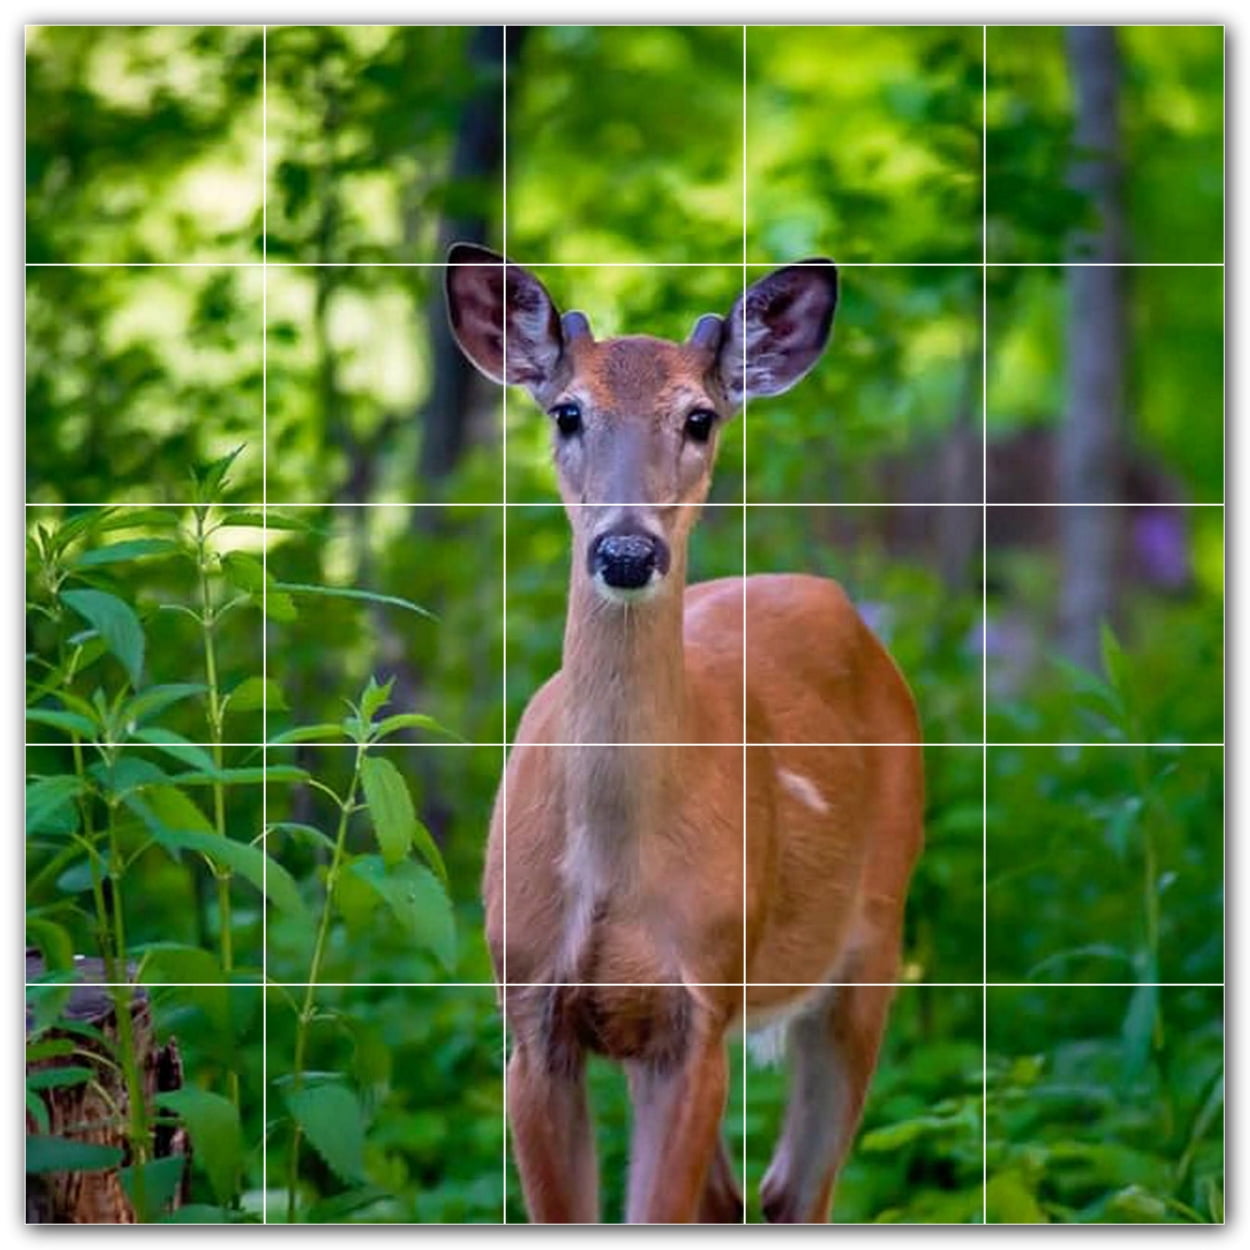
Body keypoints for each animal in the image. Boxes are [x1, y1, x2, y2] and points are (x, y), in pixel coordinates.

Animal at [445, 244, 924, 1224]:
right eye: (567, 410)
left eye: (700, 417)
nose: (628, 551)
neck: (609, 866)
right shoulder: (531, 1011)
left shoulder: (697, 1004)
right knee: (743, 1197)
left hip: (873, 945)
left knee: (796, 1193)